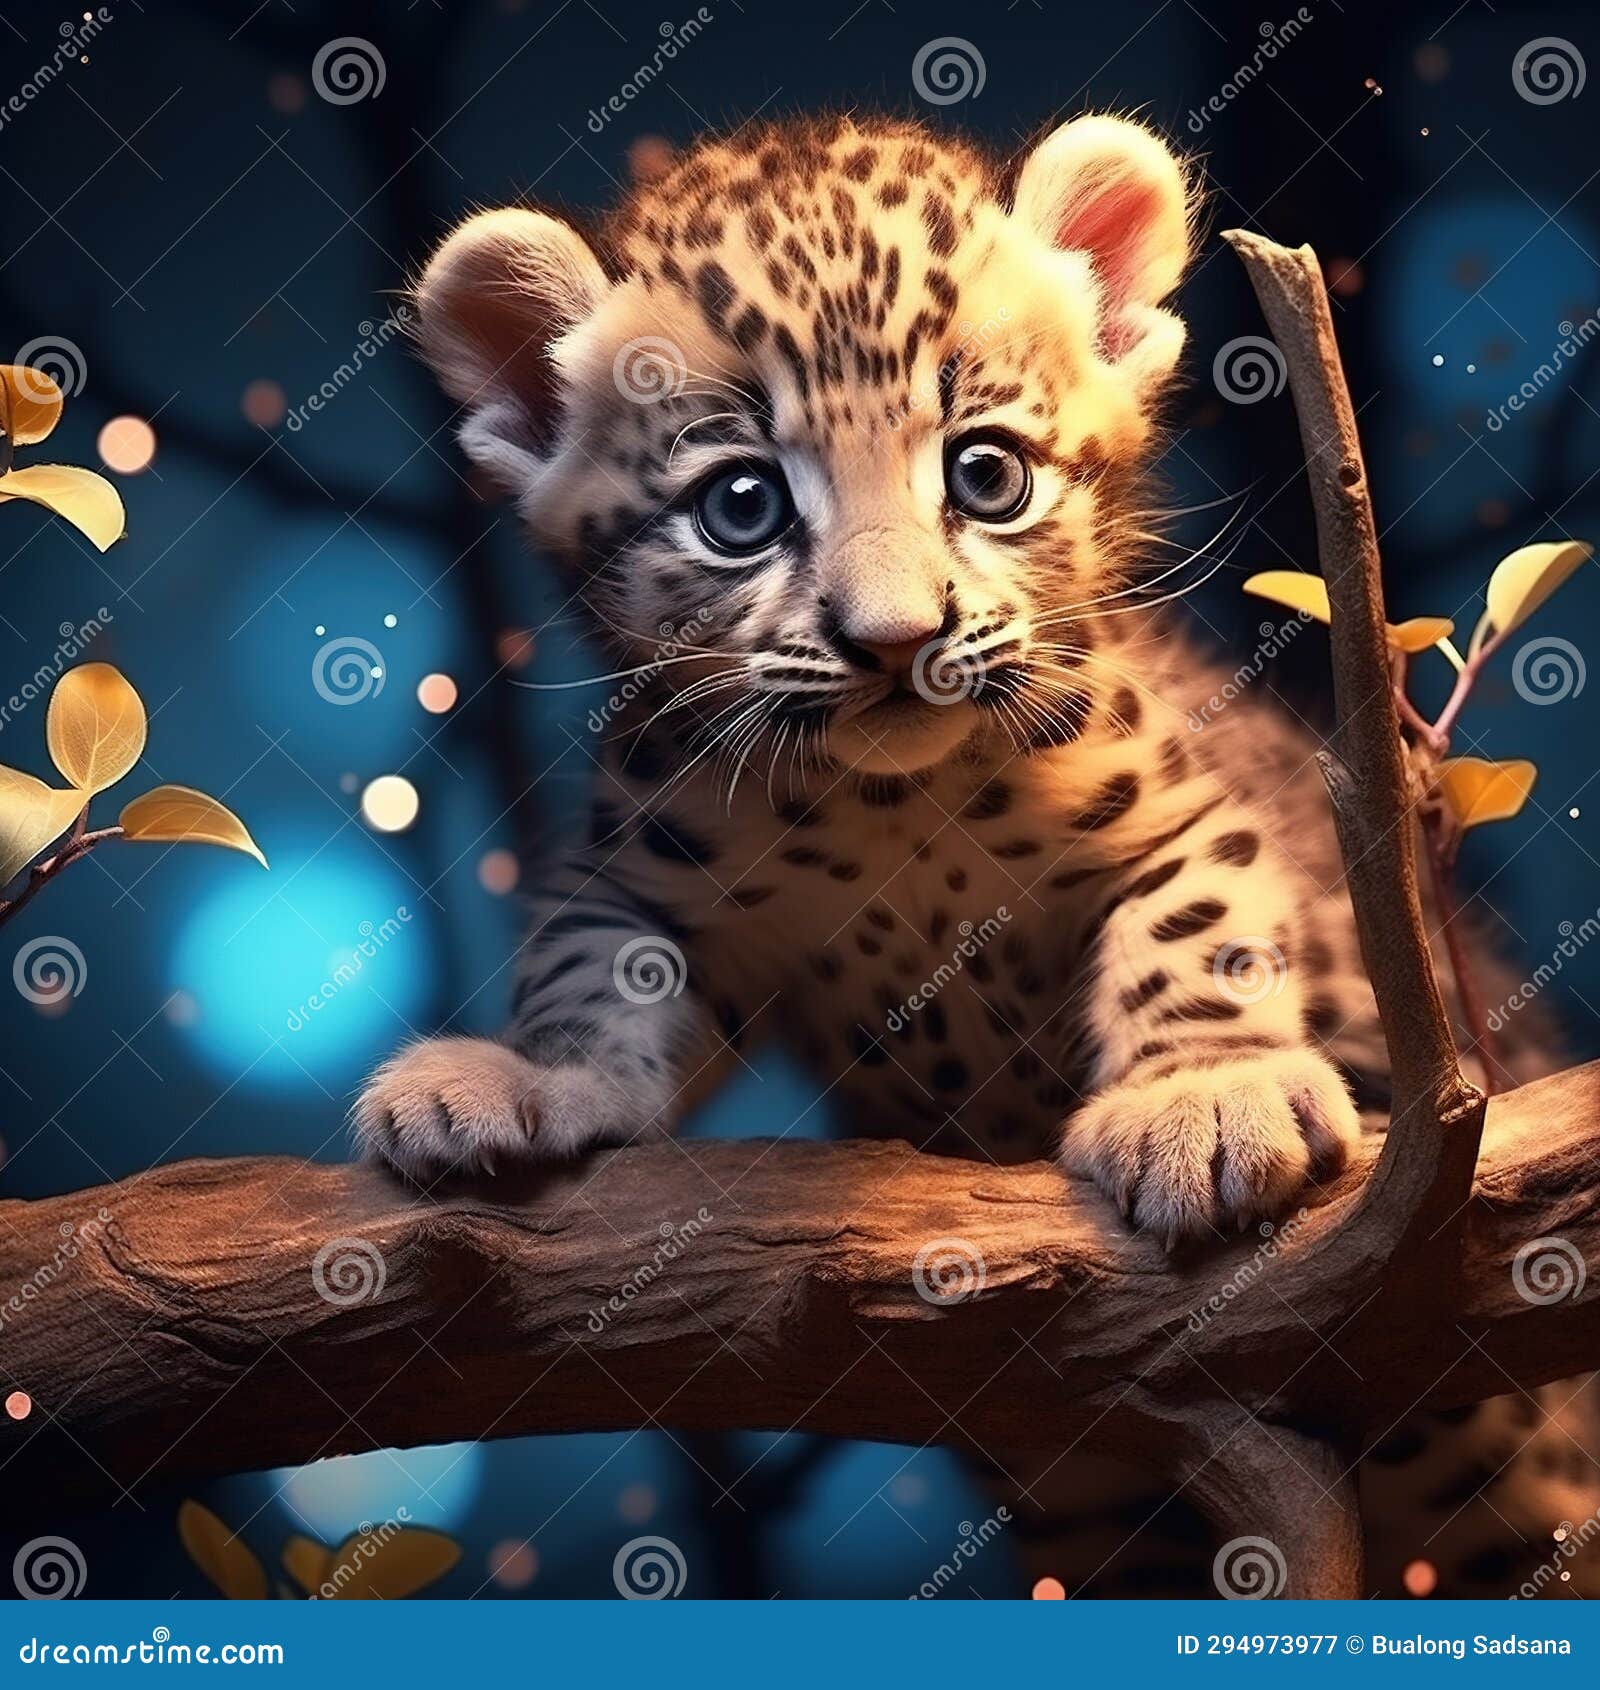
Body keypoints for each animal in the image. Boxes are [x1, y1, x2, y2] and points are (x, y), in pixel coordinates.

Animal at [355, 110, 1599, 1599]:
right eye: (739, 505)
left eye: (984, 472)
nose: (894, 640)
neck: (895, 818)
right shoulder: (648, 871)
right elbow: (590, 969)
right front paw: (524, 1081)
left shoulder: (1188, 802)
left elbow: (1197, 927)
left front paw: (1204, 1098)